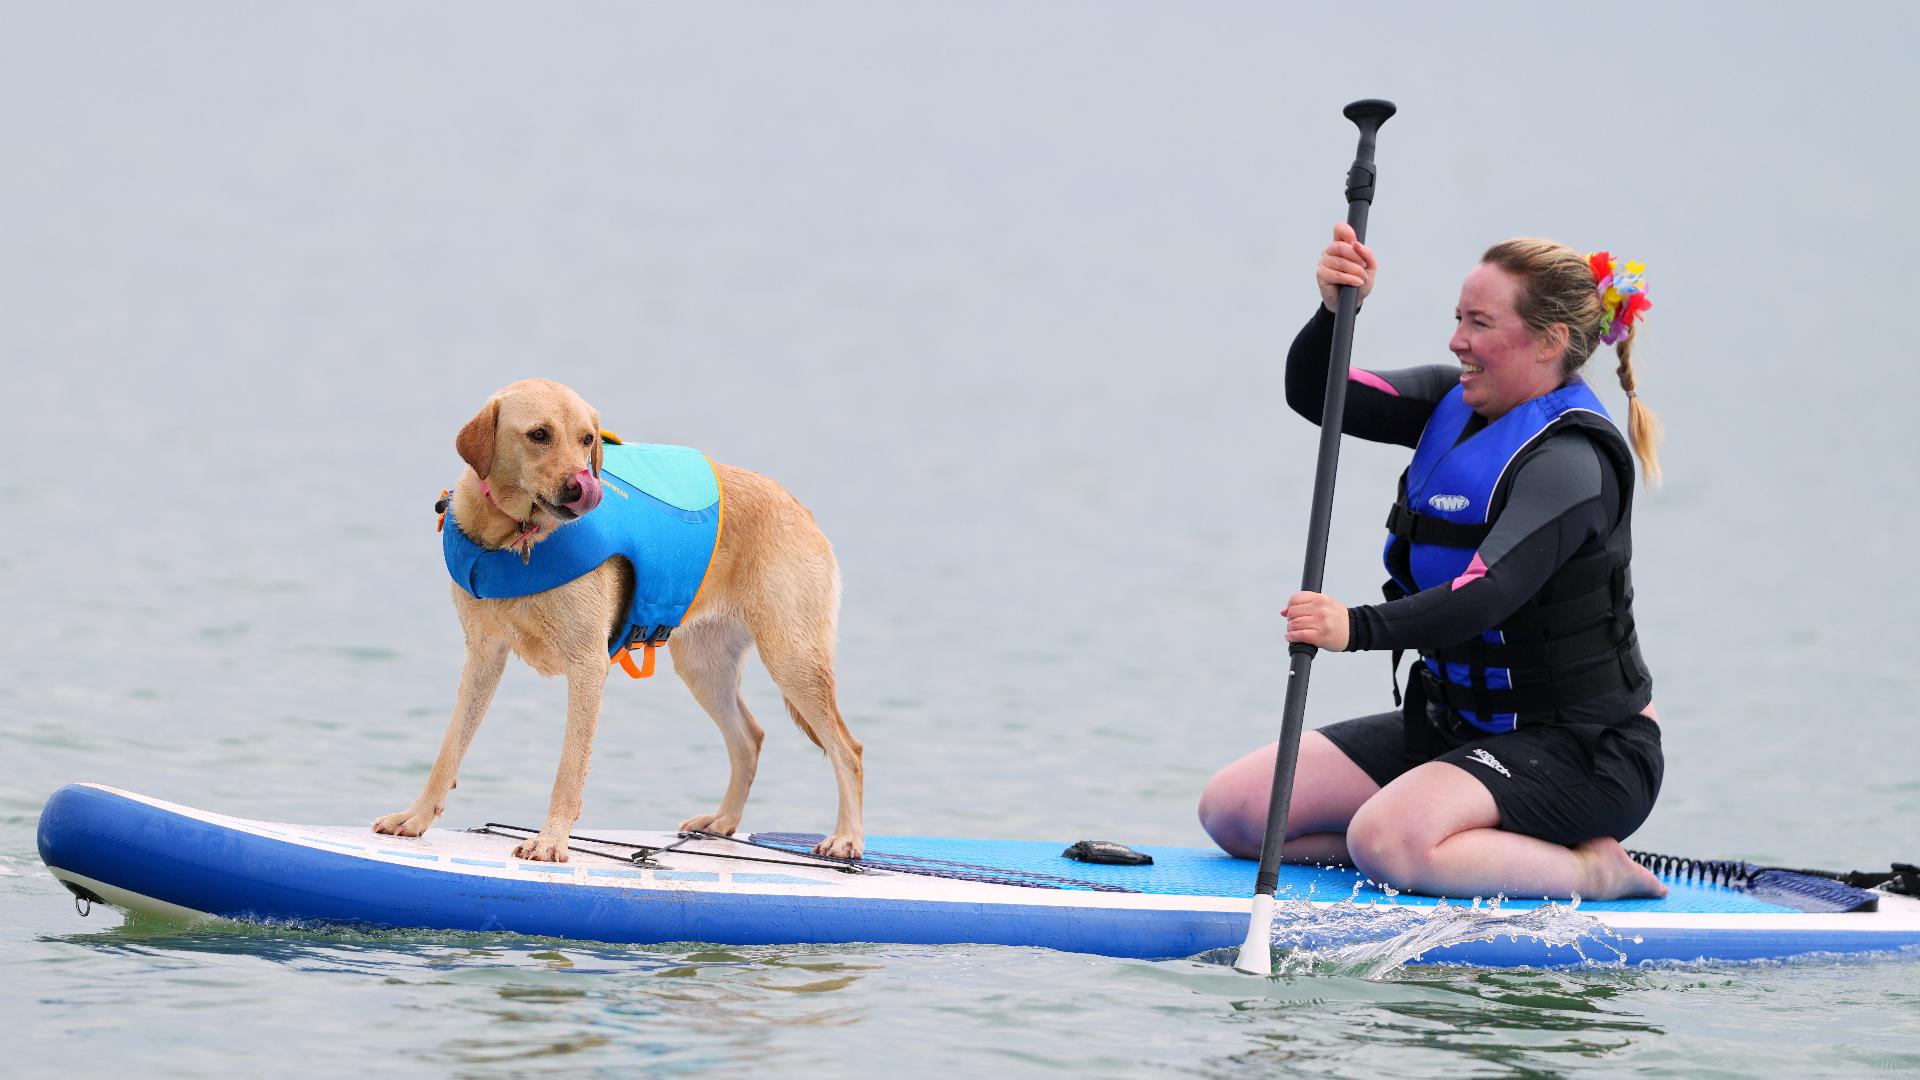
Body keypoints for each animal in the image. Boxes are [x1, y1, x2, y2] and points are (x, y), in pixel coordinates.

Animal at [373, 378, 863, 861]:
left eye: (587, 439)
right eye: (539, 434)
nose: (580, 487)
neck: (514, 534)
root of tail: (800, 508)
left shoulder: (587, 665)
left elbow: (569, 768)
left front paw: (550, 841)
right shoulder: (483, 656)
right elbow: (449, 748)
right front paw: (415, 817)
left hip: (791, 657)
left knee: (848, 749)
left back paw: (846, 839)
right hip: (704, 667)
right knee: (749, 738)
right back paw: (723, 822)